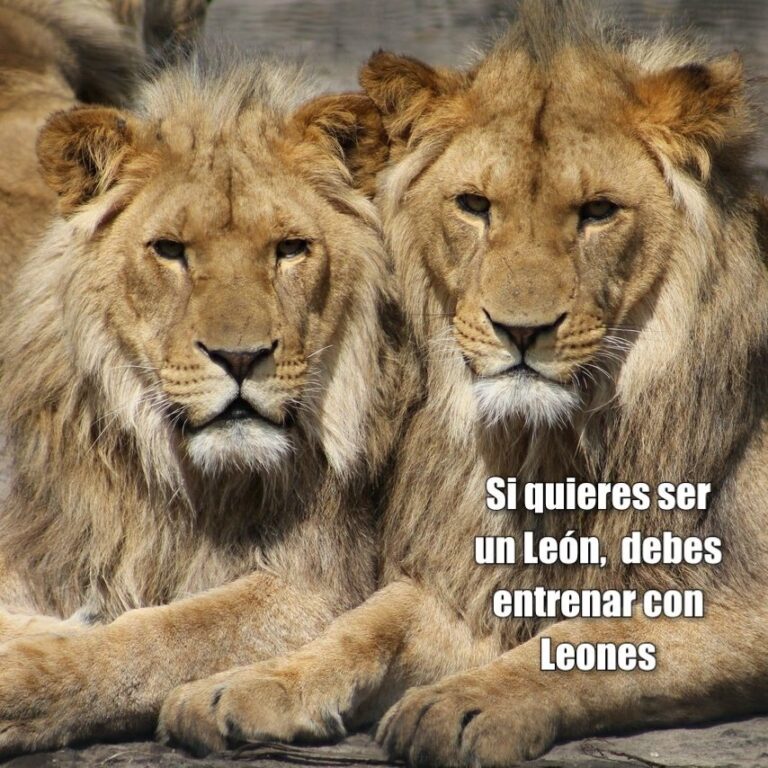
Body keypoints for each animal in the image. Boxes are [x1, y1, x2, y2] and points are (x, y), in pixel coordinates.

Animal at [157, 2, 768, 765]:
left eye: (598, 211)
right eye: (474, 206)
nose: (521, 332)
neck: (551, 449)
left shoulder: (741, 602)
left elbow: (587, 636)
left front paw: (463, 703)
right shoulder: (472, 581)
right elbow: (371, 621)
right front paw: (247, 685)